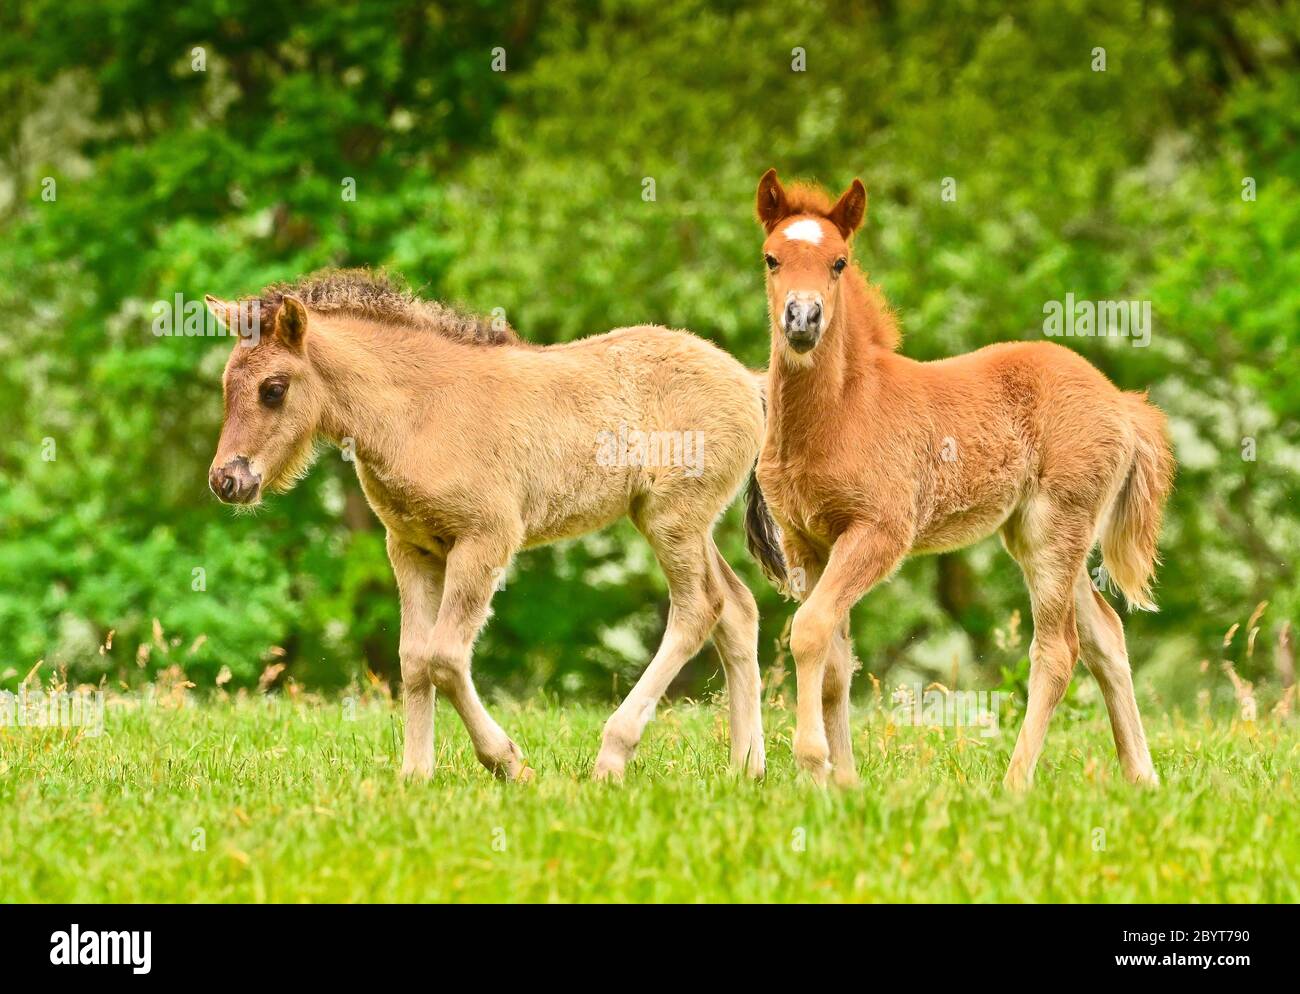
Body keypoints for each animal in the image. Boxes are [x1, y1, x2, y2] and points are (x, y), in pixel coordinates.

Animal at [204, 269, 784, 782]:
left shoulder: (486, 539)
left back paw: (613, 756)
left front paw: (507, 763)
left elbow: (443, 656)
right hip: (682, 522)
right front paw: (415, 775)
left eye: (273, 388)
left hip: (671, 519)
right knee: (737, 608)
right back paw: (745, 768)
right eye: (227, 384)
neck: (419, 410)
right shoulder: (410, 548)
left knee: (698, 609)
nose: (227, 480)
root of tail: (751, 382)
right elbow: (413, 660)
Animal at [747, 169, 1174, 789]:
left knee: (1058, 650)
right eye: (772, 258)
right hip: (1040, 537)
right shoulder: (807, 543)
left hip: (1054, 530)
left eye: (839, 262)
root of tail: (1120, 402)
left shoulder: (878, 533)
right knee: (1106, 636)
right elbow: (834, 660)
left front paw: (812, 765)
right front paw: (844, 783)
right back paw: (1142, 777)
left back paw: (1014, 784)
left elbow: (809, 630)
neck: (842, 410)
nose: (802, 320)